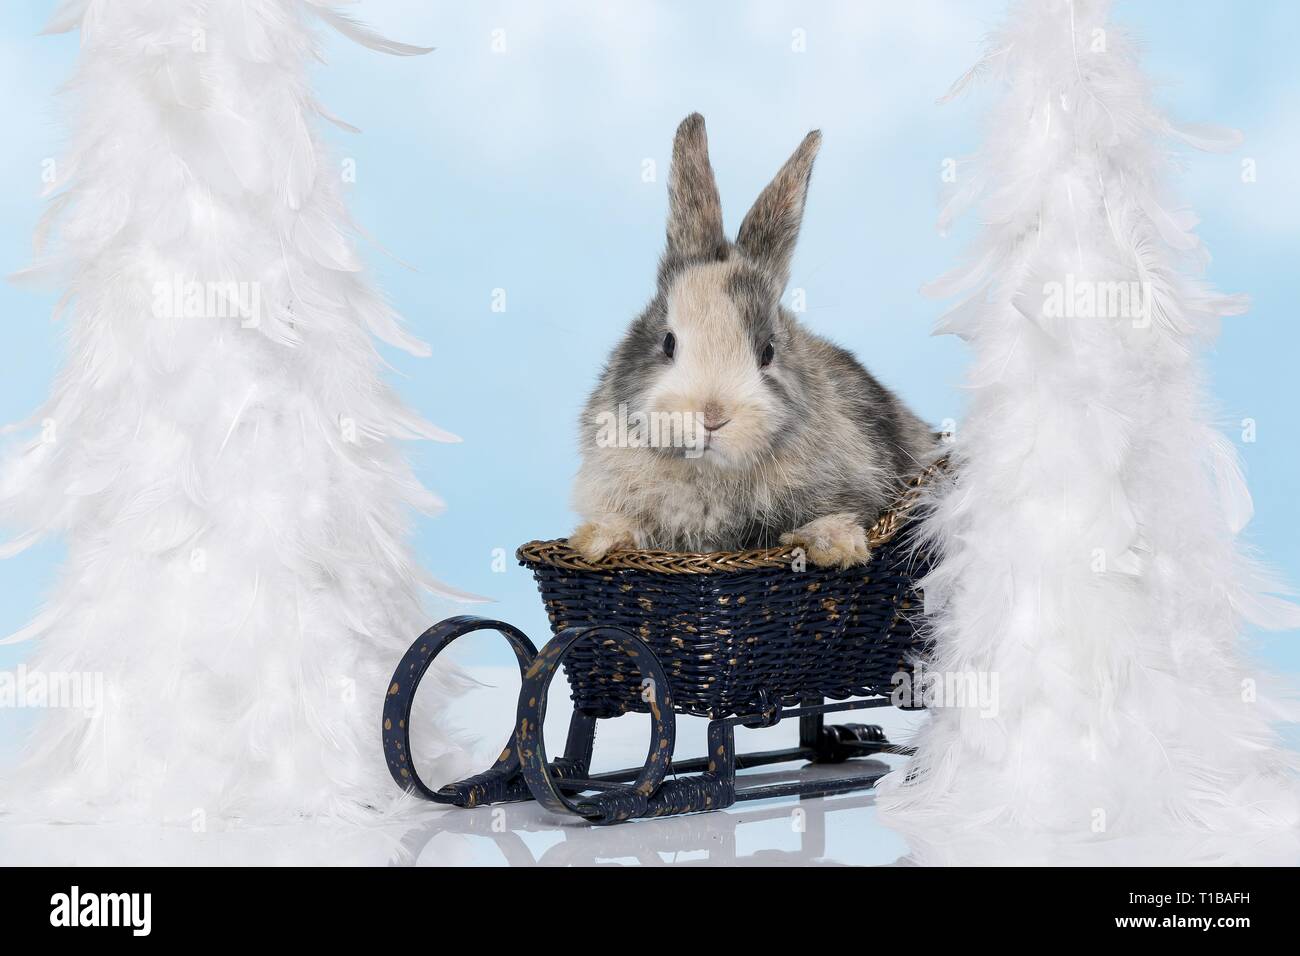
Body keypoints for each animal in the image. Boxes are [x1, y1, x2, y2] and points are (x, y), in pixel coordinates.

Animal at [570, 113, 936, 568]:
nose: (712, 417)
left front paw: (835, 546)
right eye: (668, 343)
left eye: (768, 351)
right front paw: (595, 539)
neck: (709, 473)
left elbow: (835, 514)